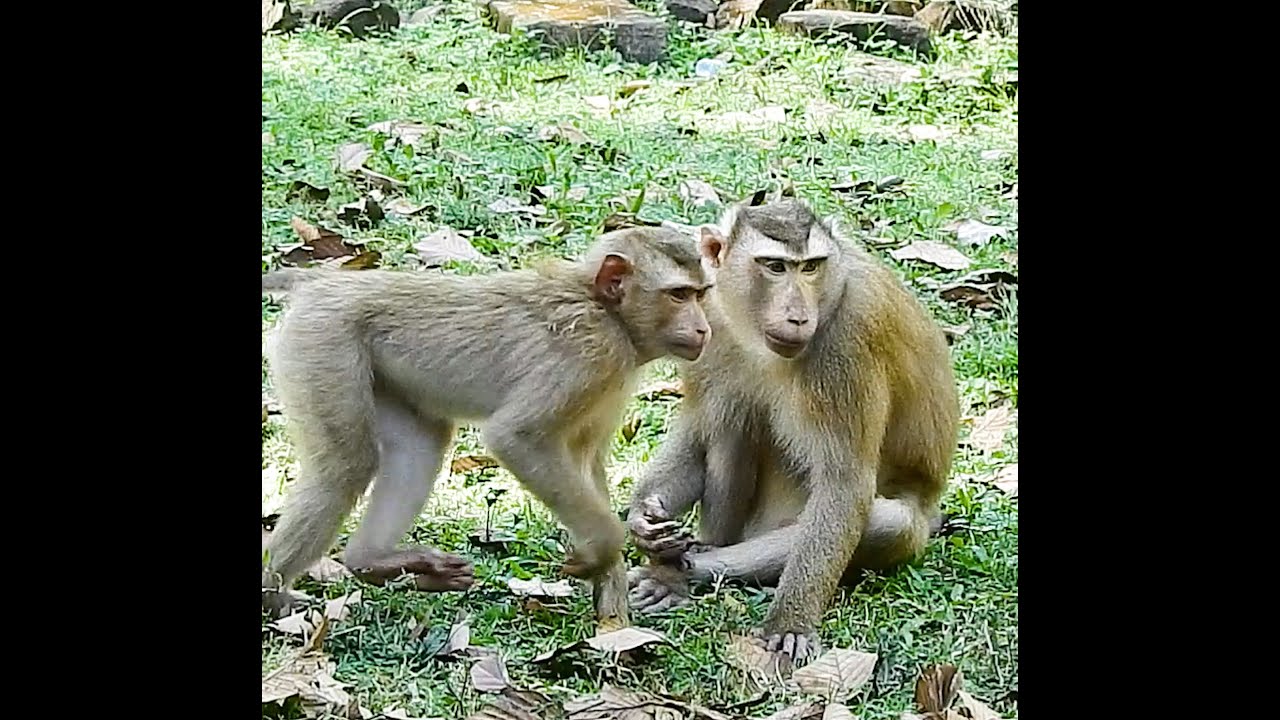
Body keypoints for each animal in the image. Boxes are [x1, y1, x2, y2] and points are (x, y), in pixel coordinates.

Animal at [260, 226, 717, 623]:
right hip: (324, 343)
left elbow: (586, 458)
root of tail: (321, 282)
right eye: (679, 295)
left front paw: (614, 622)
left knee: (423, 445)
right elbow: (516, 438)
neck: (607, 311)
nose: (704, 328)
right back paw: (274, 595)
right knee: (345, 465)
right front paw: (602, 549)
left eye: (701, 294)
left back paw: (371, 561)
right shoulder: (591, 357)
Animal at [624, 198, 960, 665]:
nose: (798, 316)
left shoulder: (848, 343)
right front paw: (643, 520)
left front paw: (791, 622)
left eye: (812, 267)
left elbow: (845, 485)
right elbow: (697, 432)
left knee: (891, 523)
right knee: (732, 419)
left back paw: (689, 569)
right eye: (775, 267)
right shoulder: (711, 321)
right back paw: (679, 564)